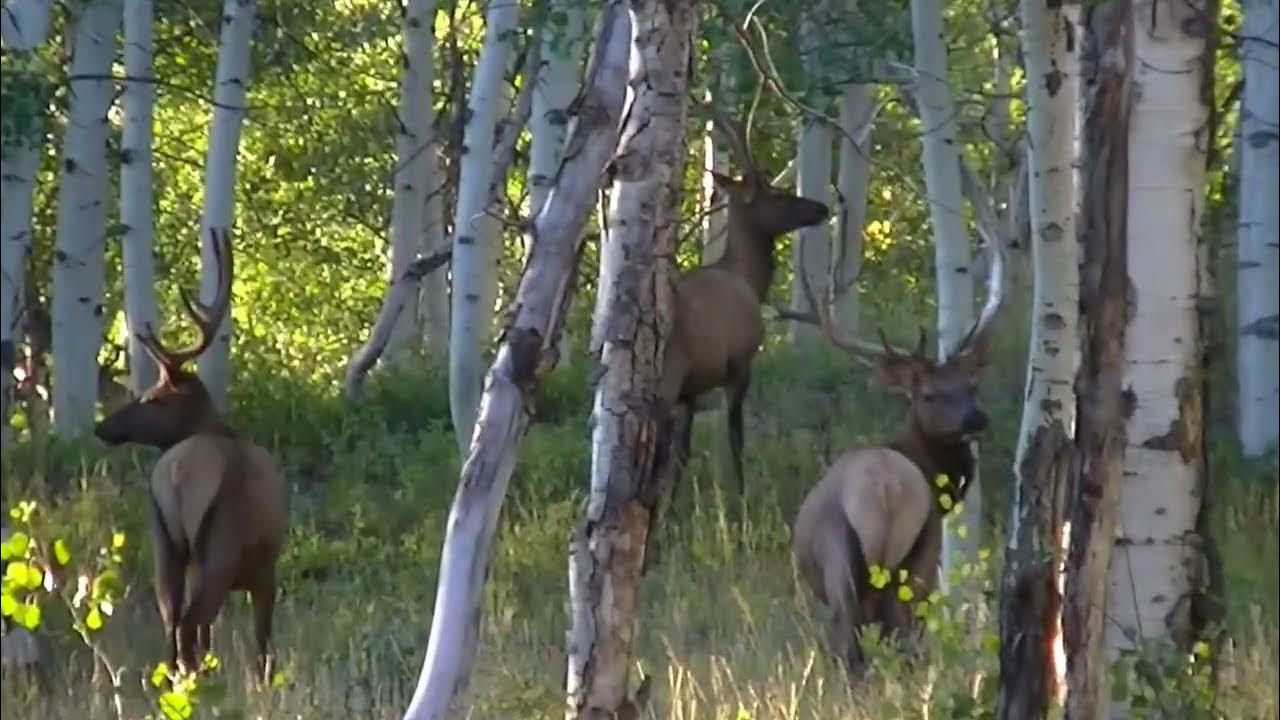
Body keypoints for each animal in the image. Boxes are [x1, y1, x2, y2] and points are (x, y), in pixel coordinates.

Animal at [93, 230, 286, 683]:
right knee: (188, 621)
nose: (102, 428)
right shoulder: (265, 572)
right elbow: (262, 642)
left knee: (170, 617)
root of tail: (178, 471)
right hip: (219, 547)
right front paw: (264, 684)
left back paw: (176, 681)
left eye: (151, 398)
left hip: (166, 539)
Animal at [656, 109, 829, 496]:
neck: (750, 280)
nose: (822, 207)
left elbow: (682, 455)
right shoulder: (740, 361)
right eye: (775, 194)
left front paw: (672, 505)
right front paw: (741, 495)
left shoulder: (692, 390)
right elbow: (736, 436)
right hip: (667, 374)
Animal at [787, 226, 1004, 674]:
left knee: (857, 642)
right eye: (929, 395)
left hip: (855, 563)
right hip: (910, 559)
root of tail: (888, 489)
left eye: (971, 386)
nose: (977, 419)